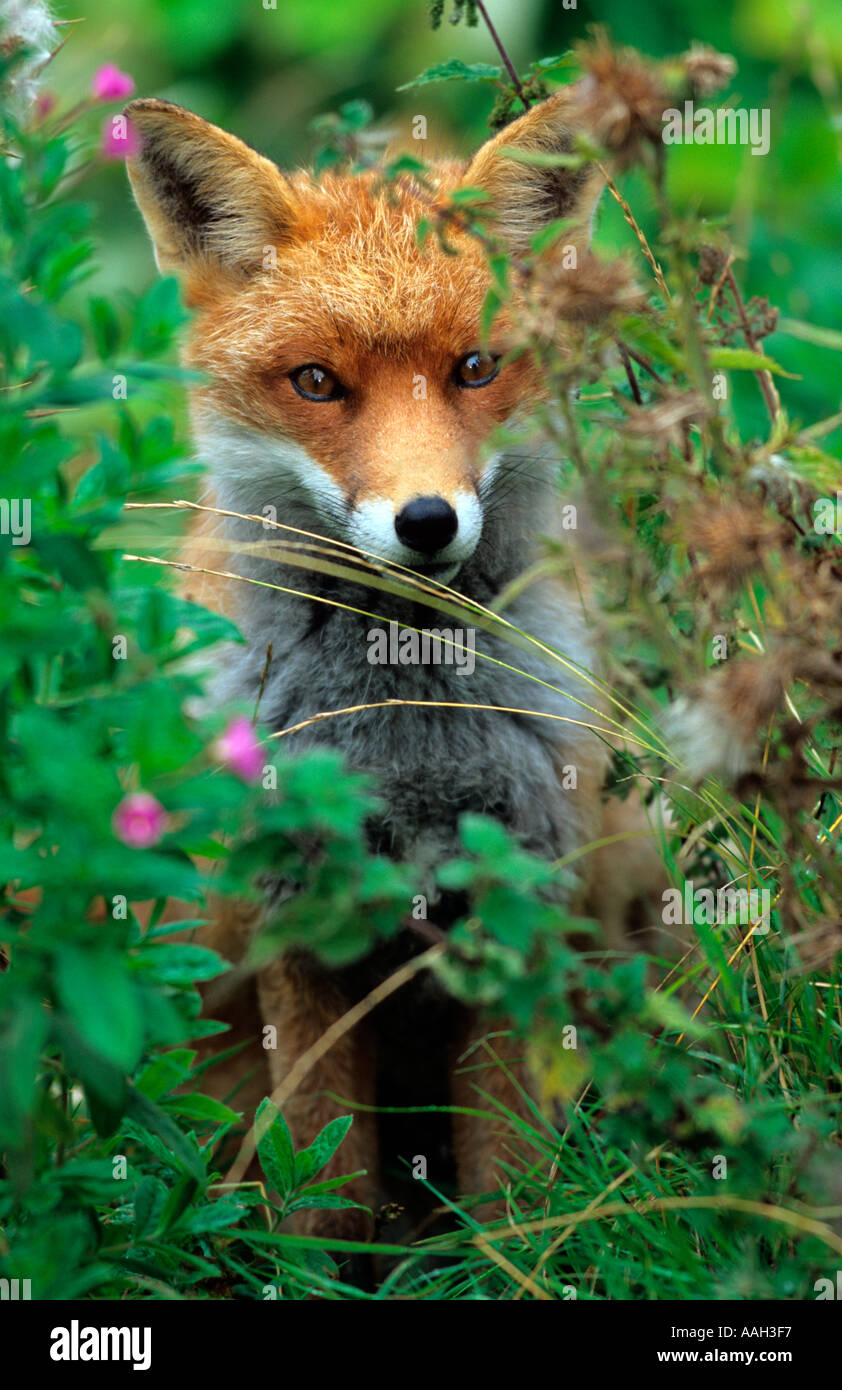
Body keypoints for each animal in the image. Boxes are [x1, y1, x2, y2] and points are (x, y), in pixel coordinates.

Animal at [124, 89, 665, 1240]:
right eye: (318, 383)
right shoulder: (294, 921)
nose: (426, 521)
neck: (402, 732)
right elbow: (321, 1184)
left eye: (476, 367)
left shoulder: (519, 898)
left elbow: (510, 1175)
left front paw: (513, 1256)